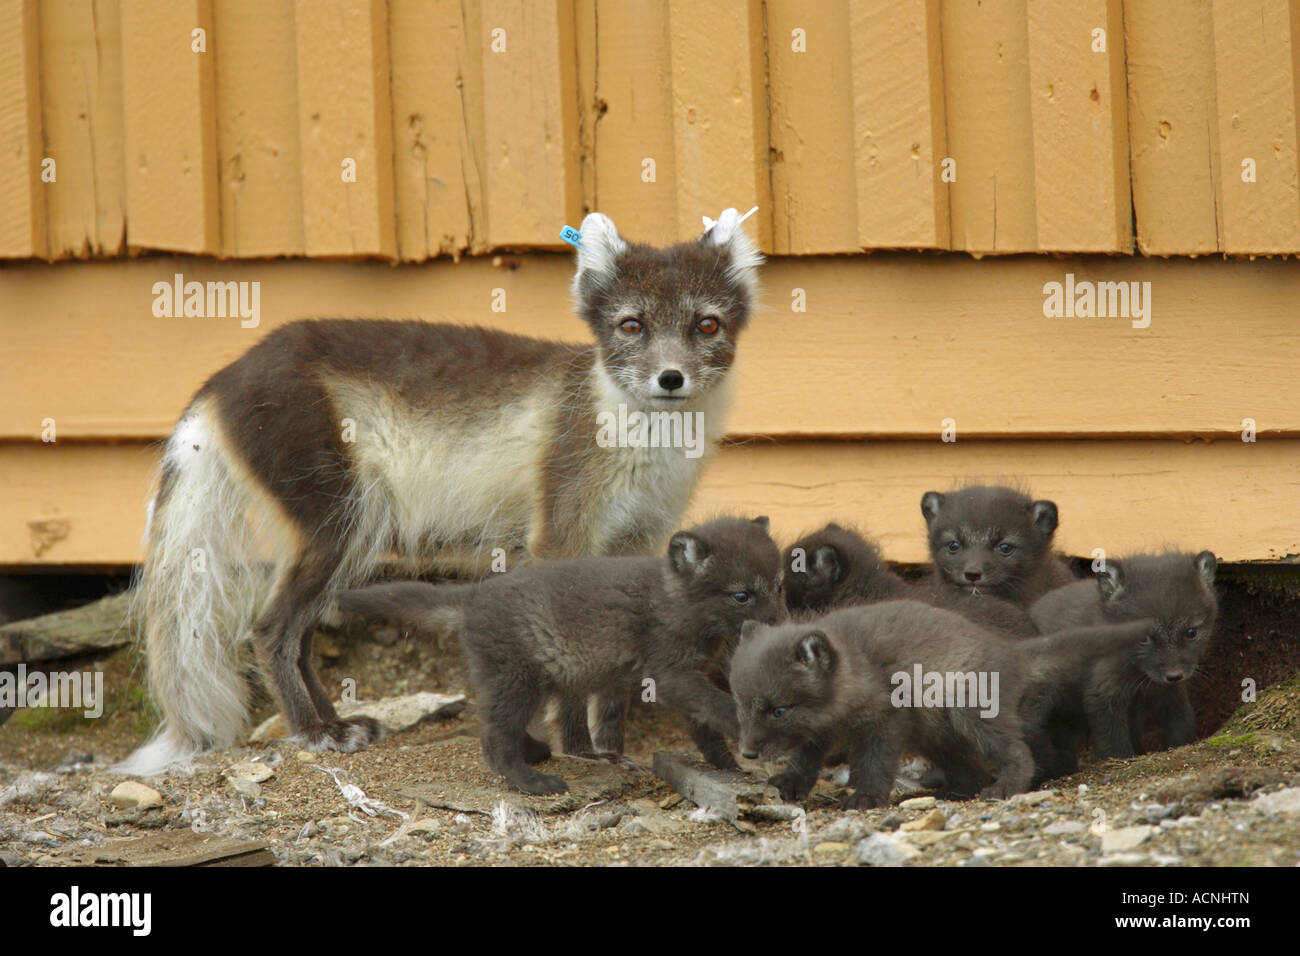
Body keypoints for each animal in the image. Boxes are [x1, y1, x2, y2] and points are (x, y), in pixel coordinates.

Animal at [118, 208, 763, 776]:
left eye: (706, 325)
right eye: (632, 326)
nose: (670, 379)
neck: (644, 443)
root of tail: (224, 376)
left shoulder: (640, 542)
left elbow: (616, 679)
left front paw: (611, 749)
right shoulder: (562, 533)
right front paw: (579, 751)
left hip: (347, 540)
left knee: (296, 638)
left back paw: (336, 722)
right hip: (340, 525)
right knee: (270, 630)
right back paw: (316, 731)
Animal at [337, 516, 785, 793]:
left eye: (779, 586)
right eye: (741, 596)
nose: (780, 625)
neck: (675, 602)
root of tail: (474, 593)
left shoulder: (691, 675)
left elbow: (706, 727)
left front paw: (729, 766)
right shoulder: (671, 674)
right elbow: (718, 705)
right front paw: (746, 731)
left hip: (525, 682)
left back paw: (535, 752)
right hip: (517, 680)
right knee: (493, 740)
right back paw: (531, 782)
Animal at [1028, 550, 1218, 771]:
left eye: (1191, 633)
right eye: (1143, 637)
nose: (1174, 675)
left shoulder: (1164, 691)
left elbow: (1181, 720)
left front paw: (1178, 745)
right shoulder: (1103, 693)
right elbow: (1114, 742)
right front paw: (1122, 759)